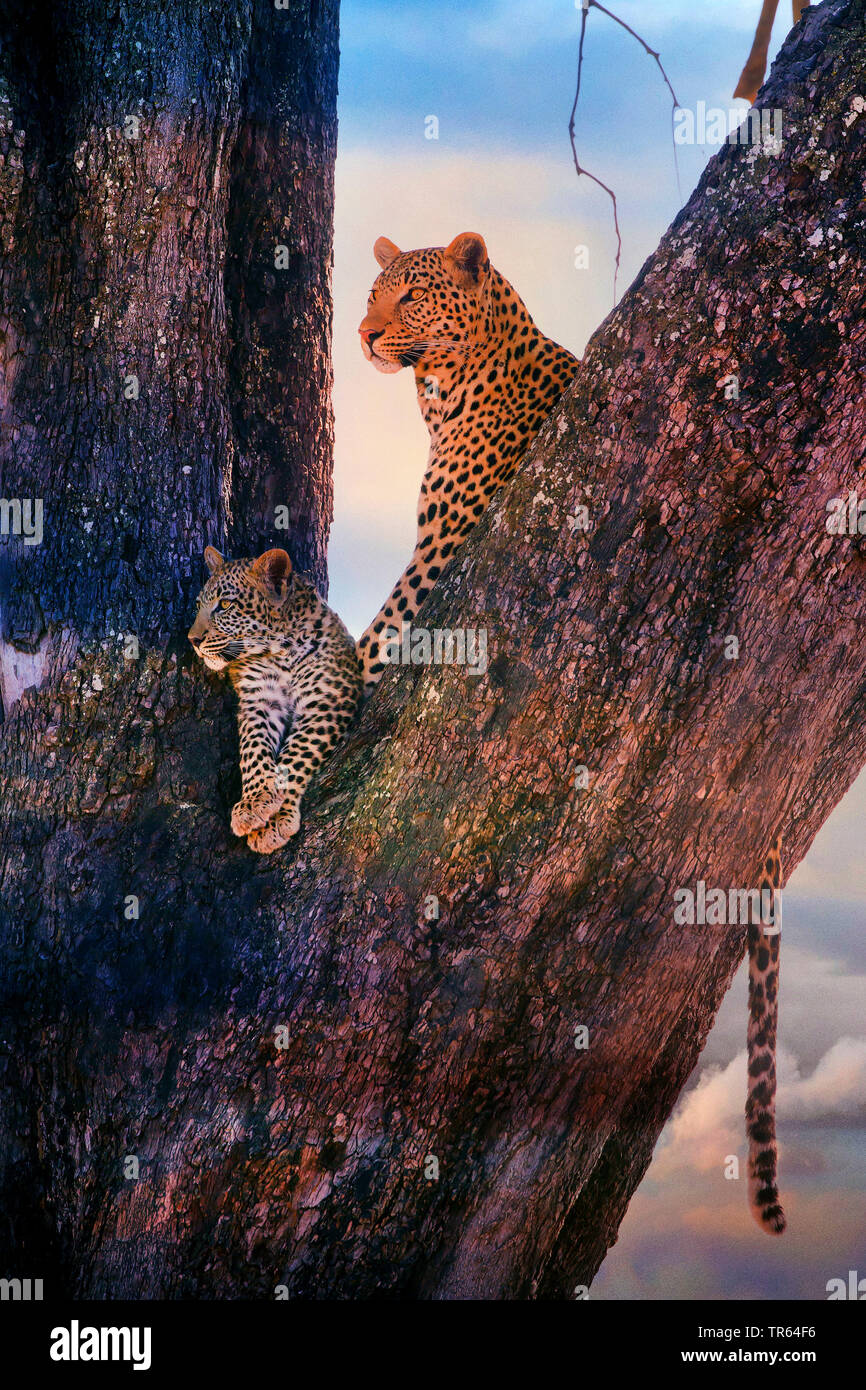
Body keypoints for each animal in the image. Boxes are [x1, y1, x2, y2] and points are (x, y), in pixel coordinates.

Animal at [188, 546, 362, 854]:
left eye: (225, 604)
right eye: (198, 606)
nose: (192, 640)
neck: (281, 648)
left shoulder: (327, 699)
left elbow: (297, 752)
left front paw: (275, 818)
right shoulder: (260, 700)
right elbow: (253, 750)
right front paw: (254, 802)